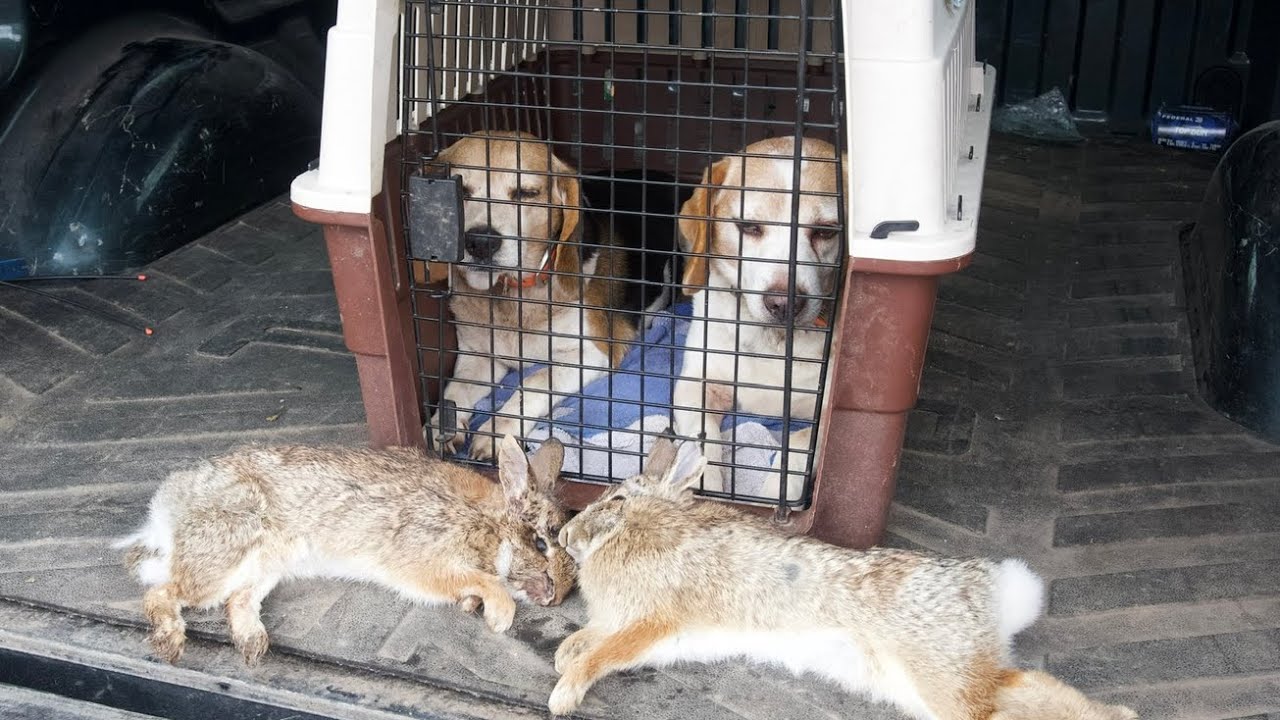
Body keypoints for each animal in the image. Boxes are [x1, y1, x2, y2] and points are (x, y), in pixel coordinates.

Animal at [115, 435, 575, 666]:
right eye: (540, 542)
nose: (554, 598)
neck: (489, 523)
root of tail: (167, 511)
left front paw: (473, 606)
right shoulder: (426, 556)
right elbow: (479, 581)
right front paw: (498, 615)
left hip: (265, 565)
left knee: (237, 601)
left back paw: (252, 643)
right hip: (227, 548)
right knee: (161, 593)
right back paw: (170, 642)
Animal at [549, 438, 1138, 720]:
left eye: (615, 501)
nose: (566, 536)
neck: (651, 524)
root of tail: (991, 591)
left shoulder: (653, 619)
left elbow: (603, 655)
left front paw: (562, 695)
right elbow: (589, 642)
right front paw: (563, 655)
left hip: (937, 675)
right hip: (921, 684)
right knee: (1022, 690)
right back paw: (1122, 713)